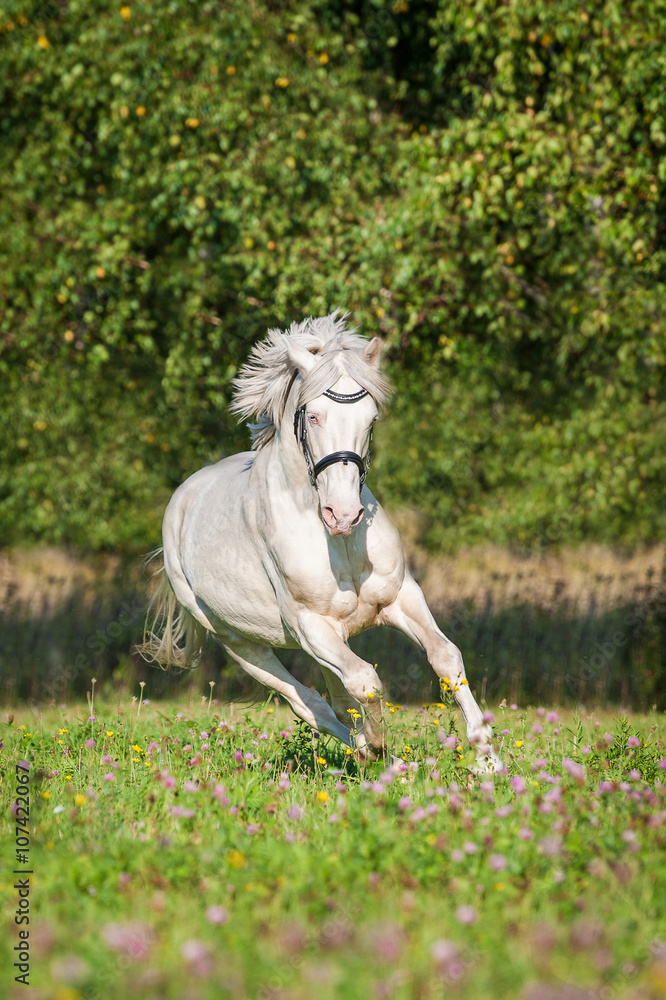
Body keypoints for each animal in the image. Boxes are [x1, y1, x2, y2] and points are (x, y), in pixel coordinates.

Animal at [140, 311, 502, 772]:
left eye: (371, 419)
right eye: (312, 416)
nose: (343, 514)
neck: (338, 543)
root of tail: (183, 500)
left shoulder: (401, 597)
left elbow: (445, 657)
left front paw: (487, 759)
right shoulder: (310, 624)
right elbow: (366, 681)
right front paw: (377, 747)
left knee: (336, 694)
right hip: (238, 641)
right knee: (309, 702)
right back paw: (369, 753)